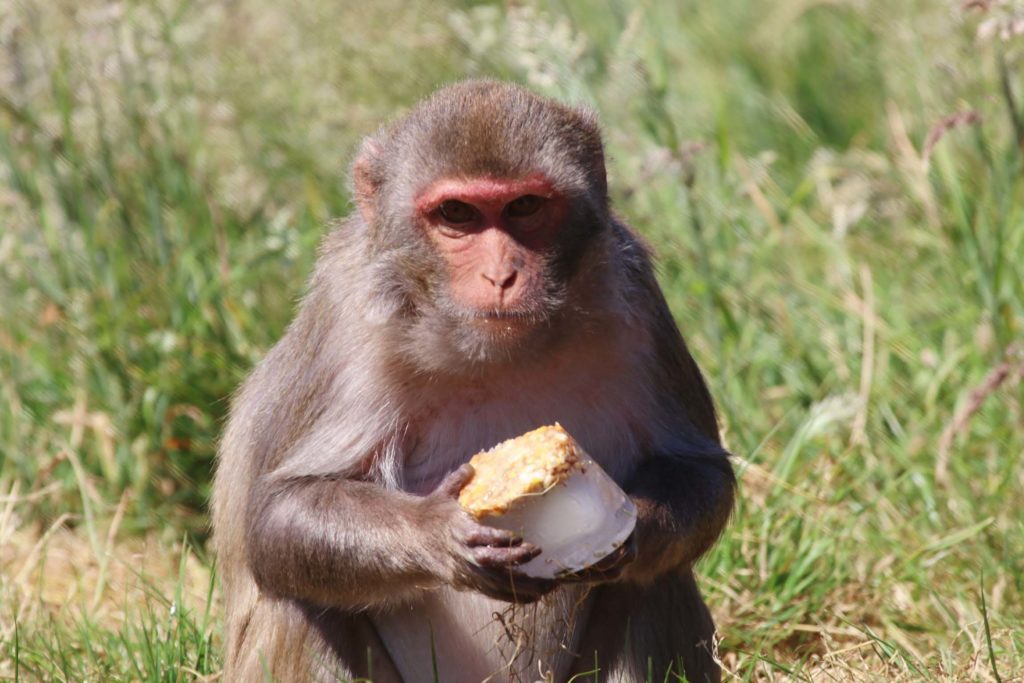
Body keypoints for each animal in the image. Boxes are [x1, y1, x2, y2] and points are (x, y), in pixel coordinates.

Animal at [212, 80, 735, 683]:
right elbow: (275, 518)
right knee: (299, 606)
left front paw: (635, 529)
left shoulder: (636, 293)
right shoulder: (349, 316)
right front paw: (440, 532)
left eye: (524, 206)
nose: (502, 276)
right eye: (457, 214)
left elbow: (701, 471)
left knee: (655, 581)